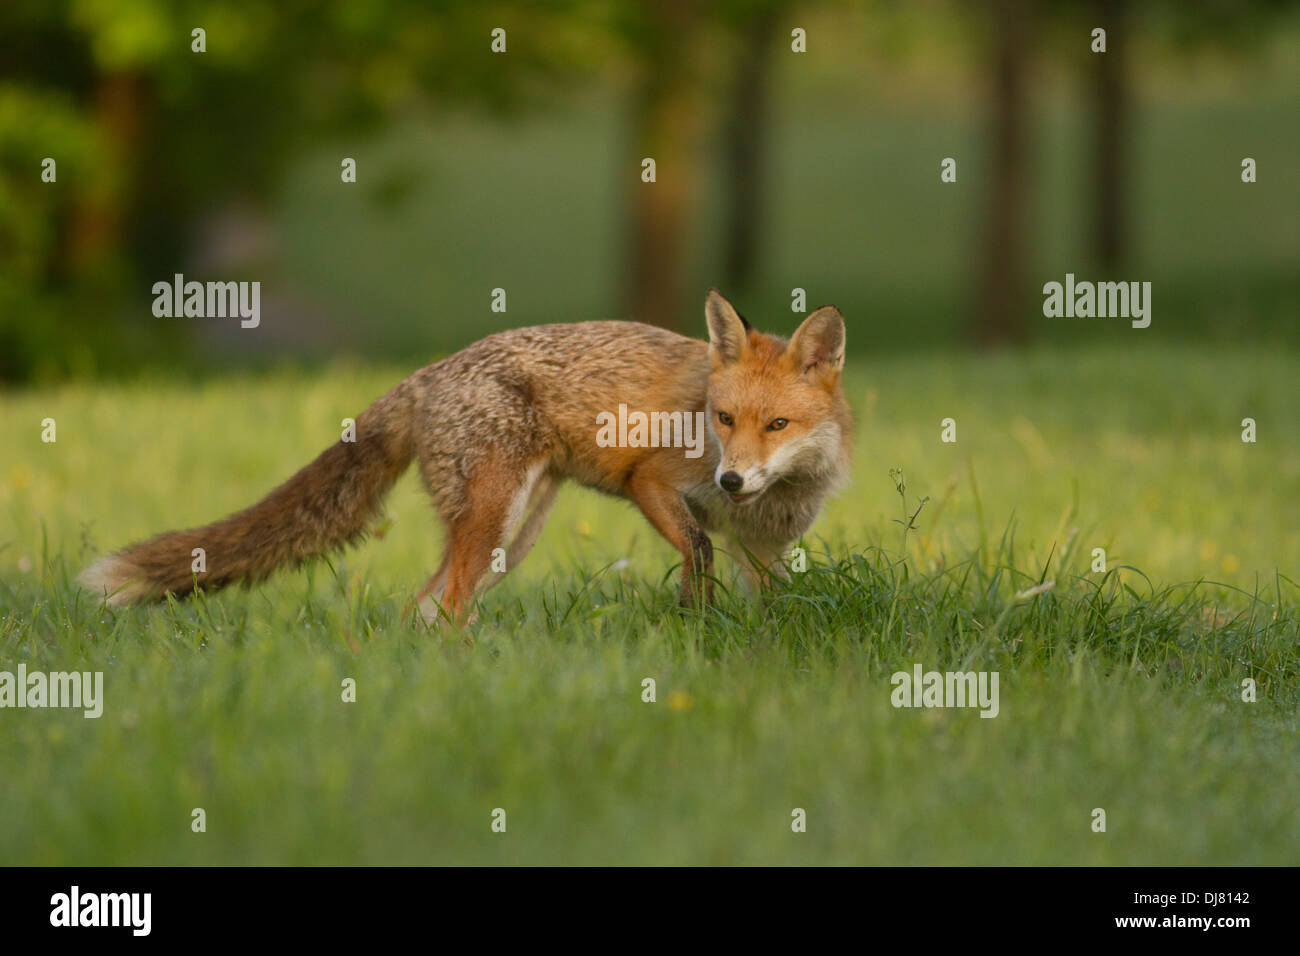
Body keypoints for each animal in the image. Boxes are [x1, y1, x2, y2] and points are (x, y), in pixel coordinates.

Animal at [81, 287, 852, 624]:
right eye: (722, 419)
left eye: (776, 424)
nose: (731, 476)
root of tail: (426, 373)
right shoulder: (651, 480)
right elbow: (698, 547)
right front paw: (693, 620)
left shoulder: (766, 550)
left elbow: (767, 606)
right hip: (495, 519)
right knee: (441, 605)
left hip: (514, 534)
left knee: (423, 609)